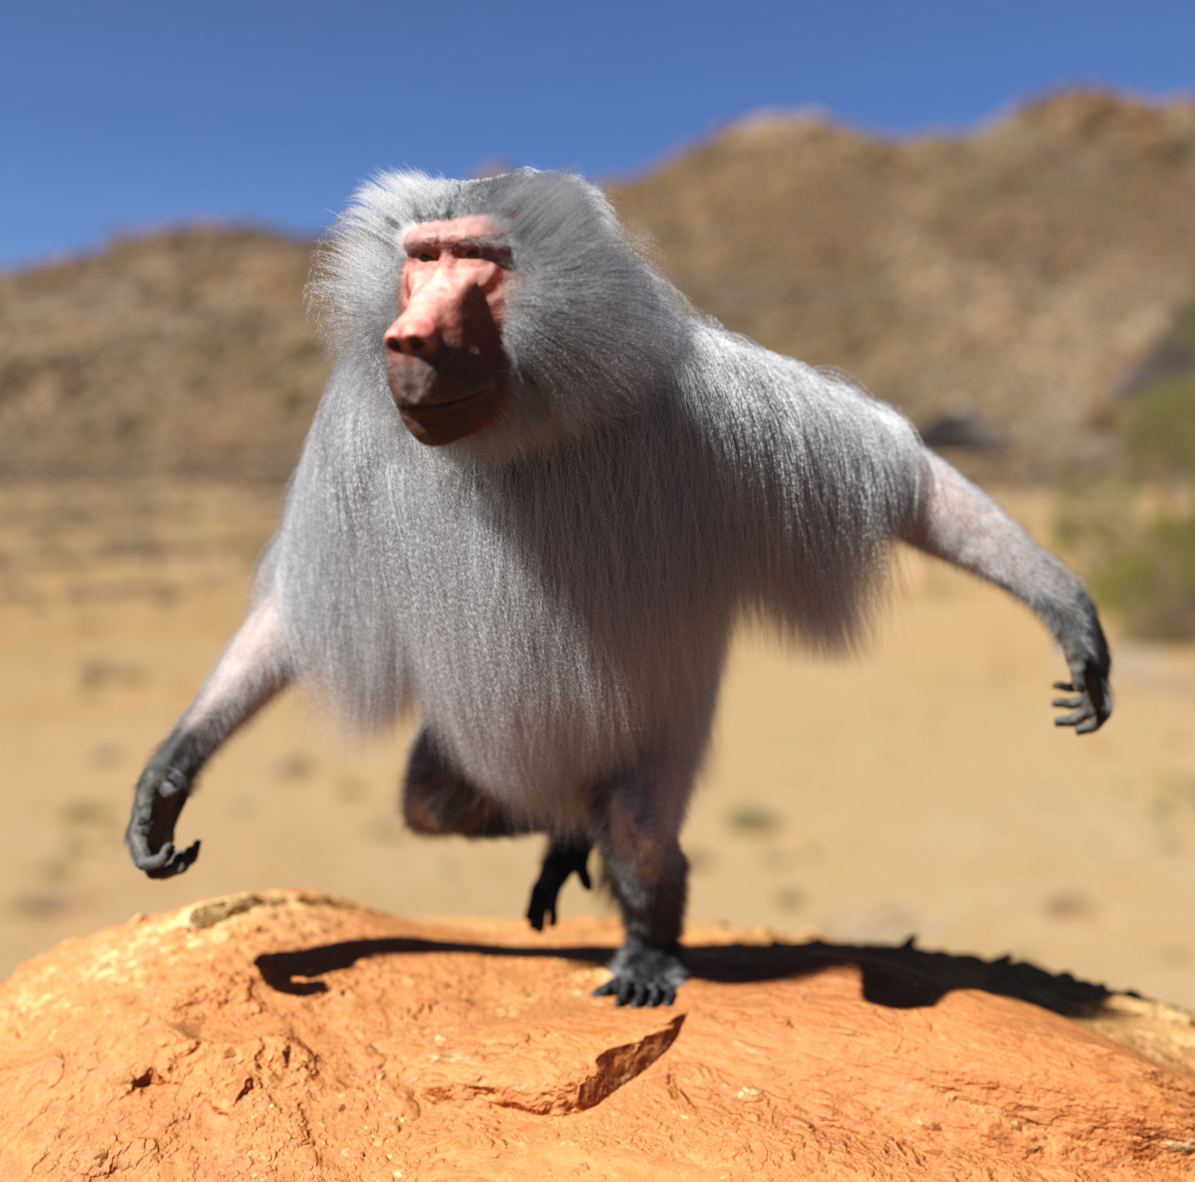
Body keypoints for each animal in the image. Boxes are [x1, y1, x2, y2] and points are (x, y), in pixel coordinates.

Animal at [126, 169, 1112, 1009]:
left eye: (477, 261)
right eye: (420, 259)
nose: (406, 339)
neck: (519, 426)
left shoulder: (711, 398)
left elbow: (917, 496)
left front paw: (1066, 613)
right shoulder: (347, 432)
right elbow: (283, 628)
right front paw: (169, 779)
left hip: (650, 750)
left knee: (637, 833)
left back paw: (642, 933)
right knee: (440, 803)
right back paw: (564, 837)